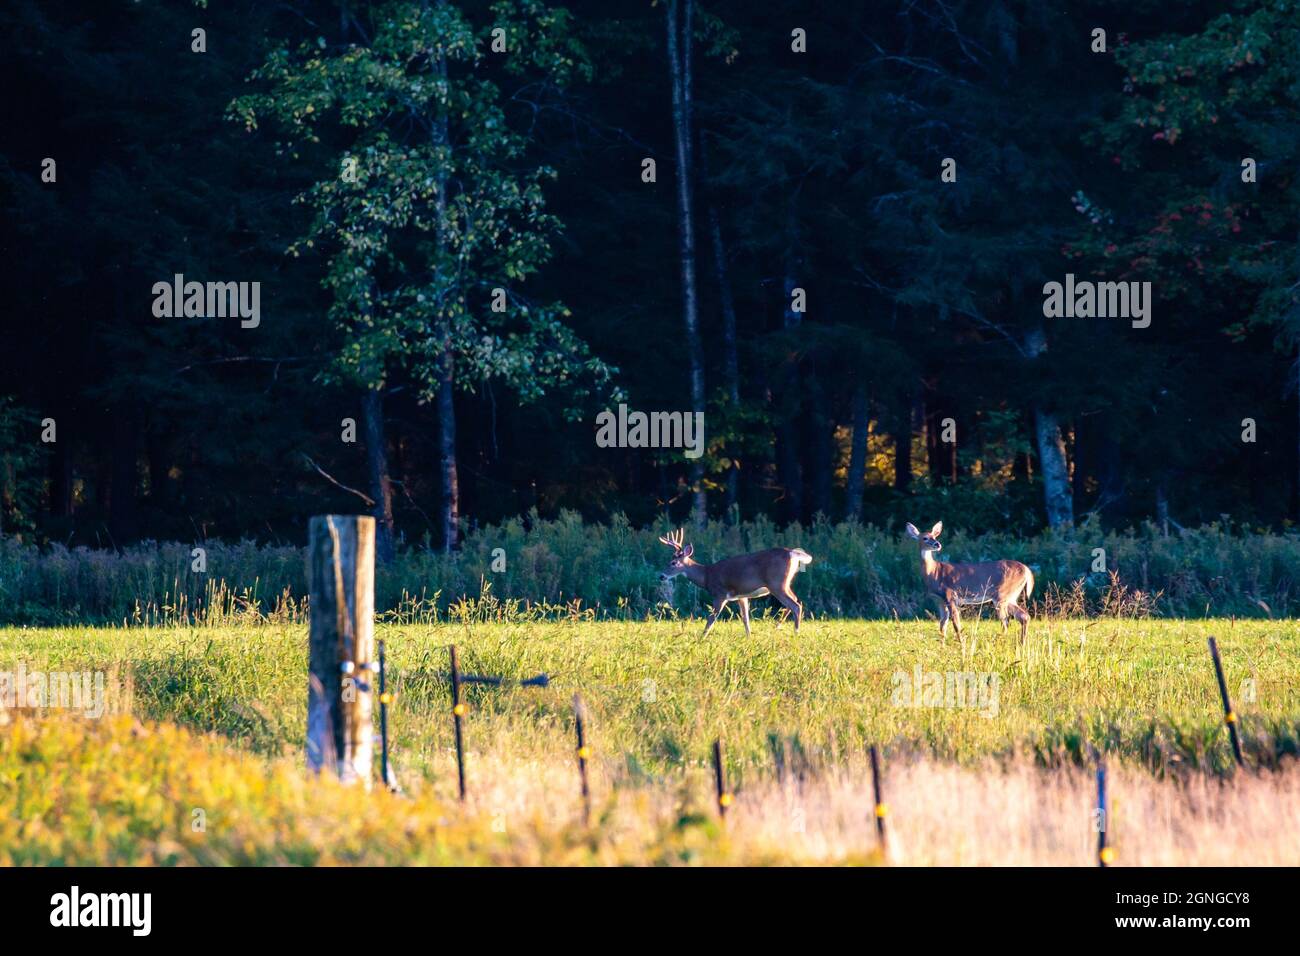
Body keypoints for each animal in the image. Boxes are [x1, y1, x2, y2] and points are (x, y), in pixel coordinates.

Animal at [657, 528, 813, 637]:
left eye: (673, 563)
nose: (661, 576)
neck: (706, 575)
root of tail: (792, 553)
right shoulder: (741, 596)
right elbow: (745, 619)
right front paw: (749, 637)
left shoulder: (719, 594)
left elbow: (711, 619)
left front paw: (701, 638)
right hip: (784, 583)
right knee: (796, 601)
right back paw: (777, 627)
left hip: (777, 584)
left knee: (795, 605)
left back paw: (796, 633)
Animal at [905, 521, 1034, 641]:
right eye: (925, 538)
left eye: (934, 536)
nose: (937, 544)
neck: (934, 573)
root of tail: (1027, 570)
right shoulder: (940, 601)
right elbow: (942, 627)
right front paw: (942, 646)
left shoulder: (951, 596)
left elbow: (956, 625)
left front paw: (961, 644)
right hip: (1010, 596)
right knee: (1023, 616)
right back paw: (1021, 644)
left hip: (1002, 594)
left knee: (1007, 622)